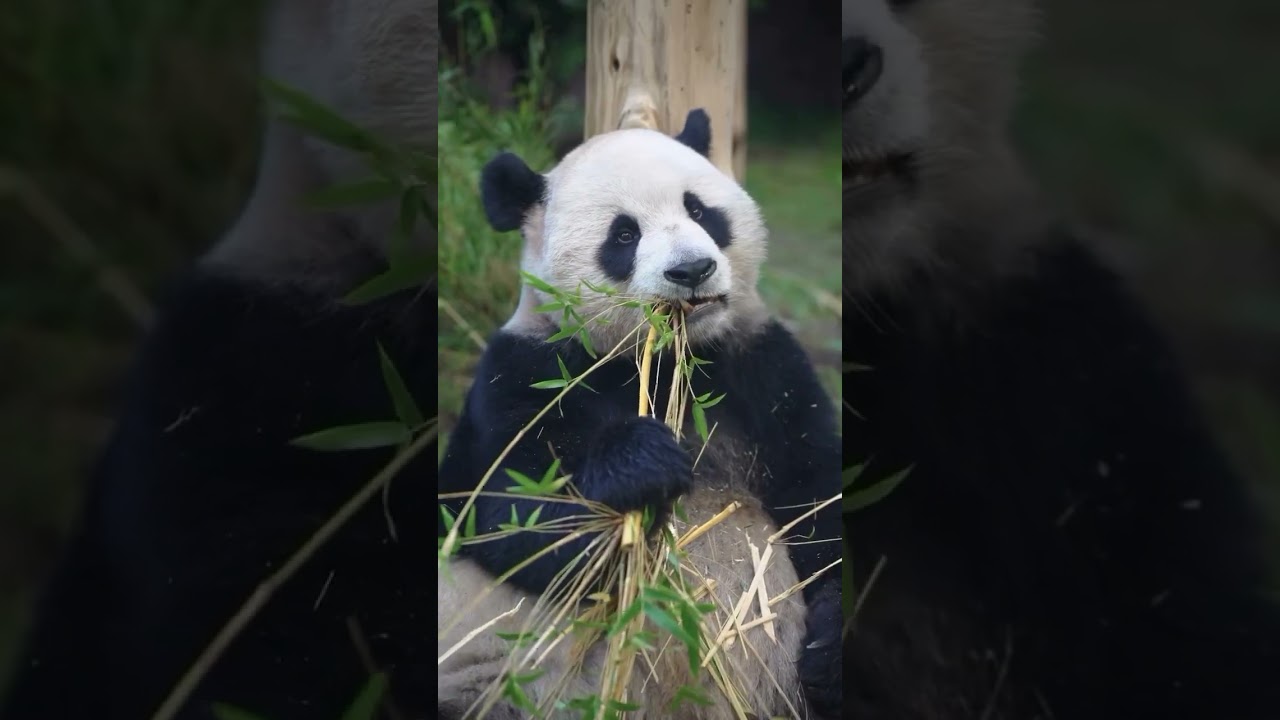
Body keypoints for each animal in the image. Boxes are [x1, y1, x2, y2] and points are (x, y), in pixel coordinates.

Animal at [435, 109, 843, 719]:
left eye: (699, 210)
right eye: (624, 235)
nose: (693, 269)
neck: (667, 361)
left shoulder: (764, 365)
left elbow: (817, 497)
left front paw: (830, 650)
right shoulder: (523, 376)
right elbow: (510, 514)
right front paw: (641, 463)